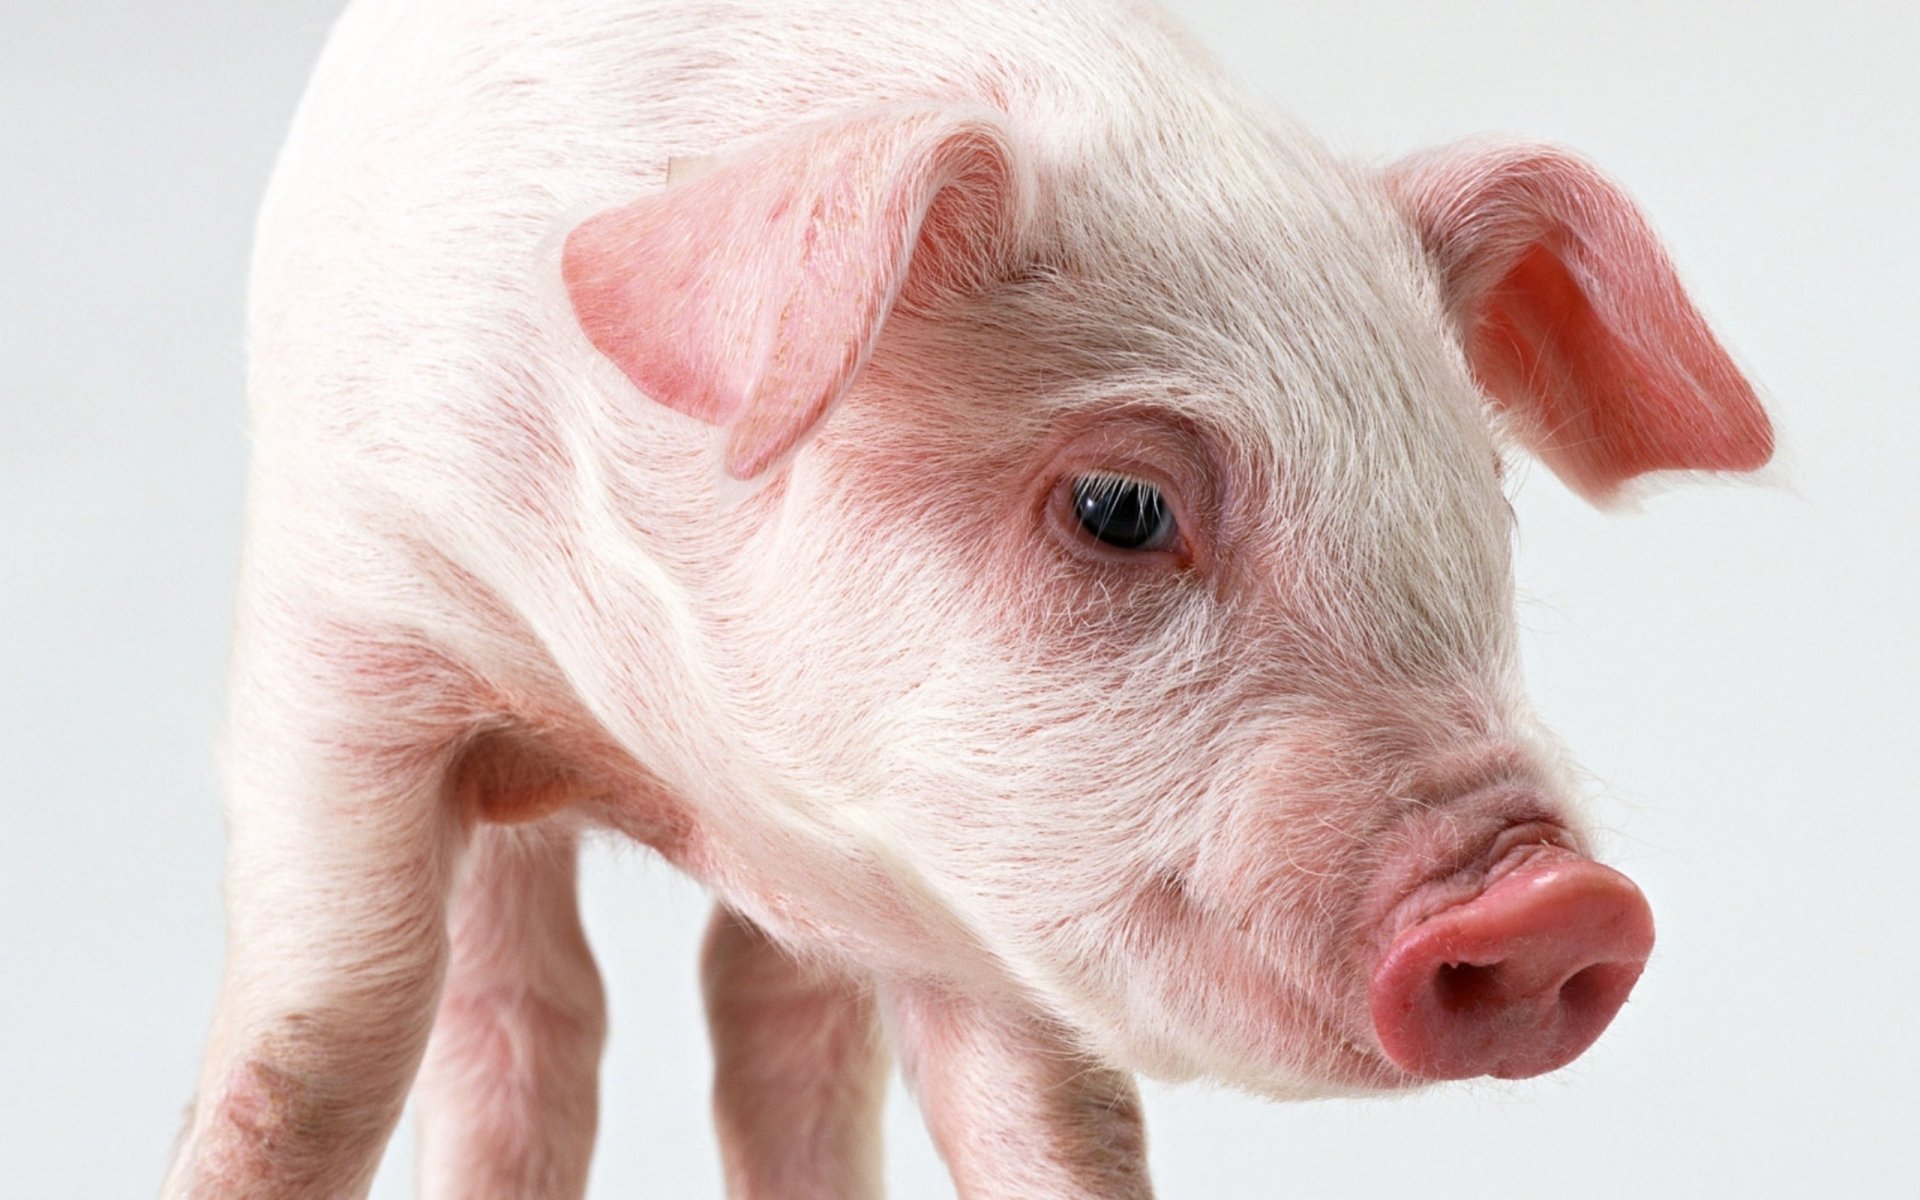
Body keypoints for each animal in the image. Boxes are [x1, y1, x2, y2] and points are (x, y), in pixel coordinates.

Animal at [162, 0, 1773, 1196]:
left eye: (1491, 492)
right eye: (1120, 507)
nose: (1562, 899)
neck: (668, 757)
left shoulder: (958, 891)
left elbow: (1057, 1125)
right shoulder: (344, 613)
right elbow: (321, 1049)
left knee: (770, 1034)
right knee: (520, 1020)